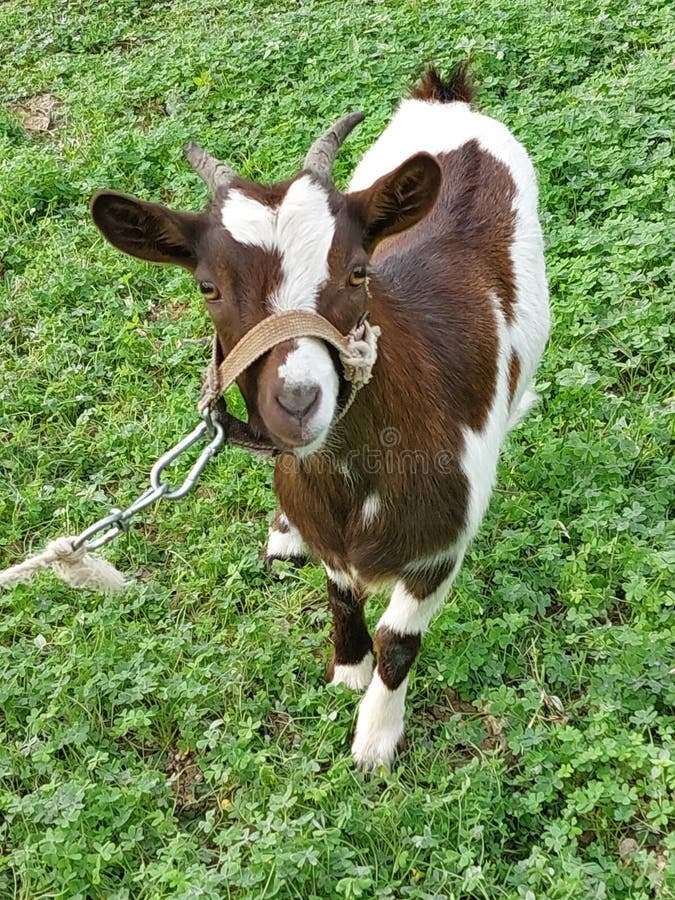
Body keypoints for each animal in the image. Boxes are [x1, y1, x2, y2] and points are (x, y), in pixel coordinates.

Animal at [91, 65, 550, 770]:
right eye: (207, 286)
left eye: (358, 271)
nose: (298, 400)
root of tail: (449, 100)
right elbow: (339, 590)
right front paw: (348, 669)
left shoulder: (440, 548)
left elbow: (399, 640)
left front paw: (374, 741)